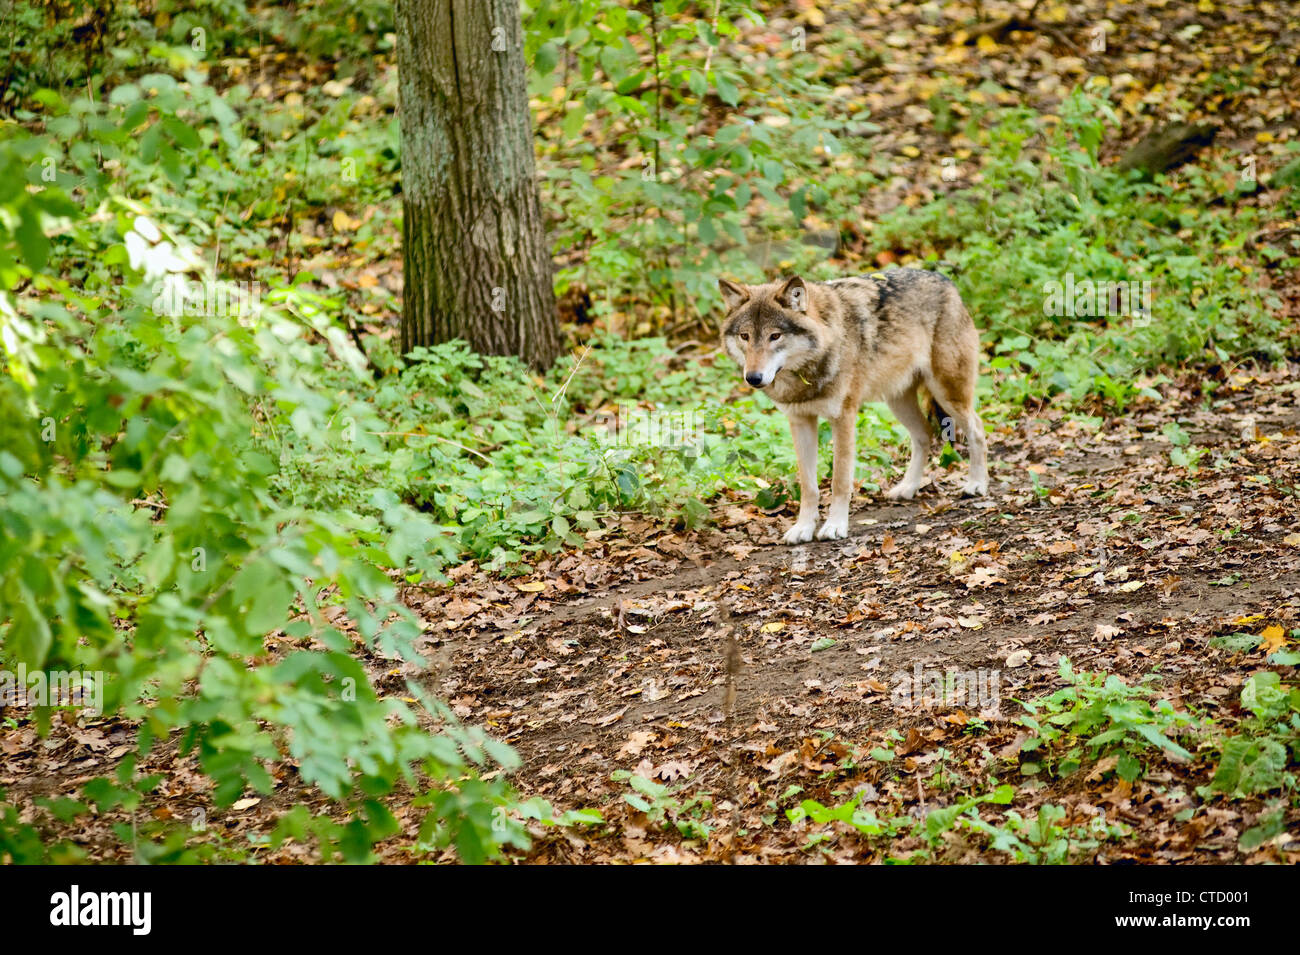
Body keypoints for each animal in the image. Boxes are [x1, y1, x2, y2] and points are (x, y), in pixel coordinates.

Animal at [718, 269, 989, 544]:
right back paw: (908, 488)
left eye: (775, 336)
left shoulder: (843, 418)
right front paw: (803, 528)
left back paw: (976, 484)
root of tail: (946, 281)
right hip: (898, 401)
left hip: (948, 393)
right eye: (745, 336)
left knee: (977, 429)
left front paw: (835, 526)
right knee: (925, 435)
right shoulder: (800, 421)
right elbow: (808, 485)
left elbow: (840, 480)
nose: (753, 378)